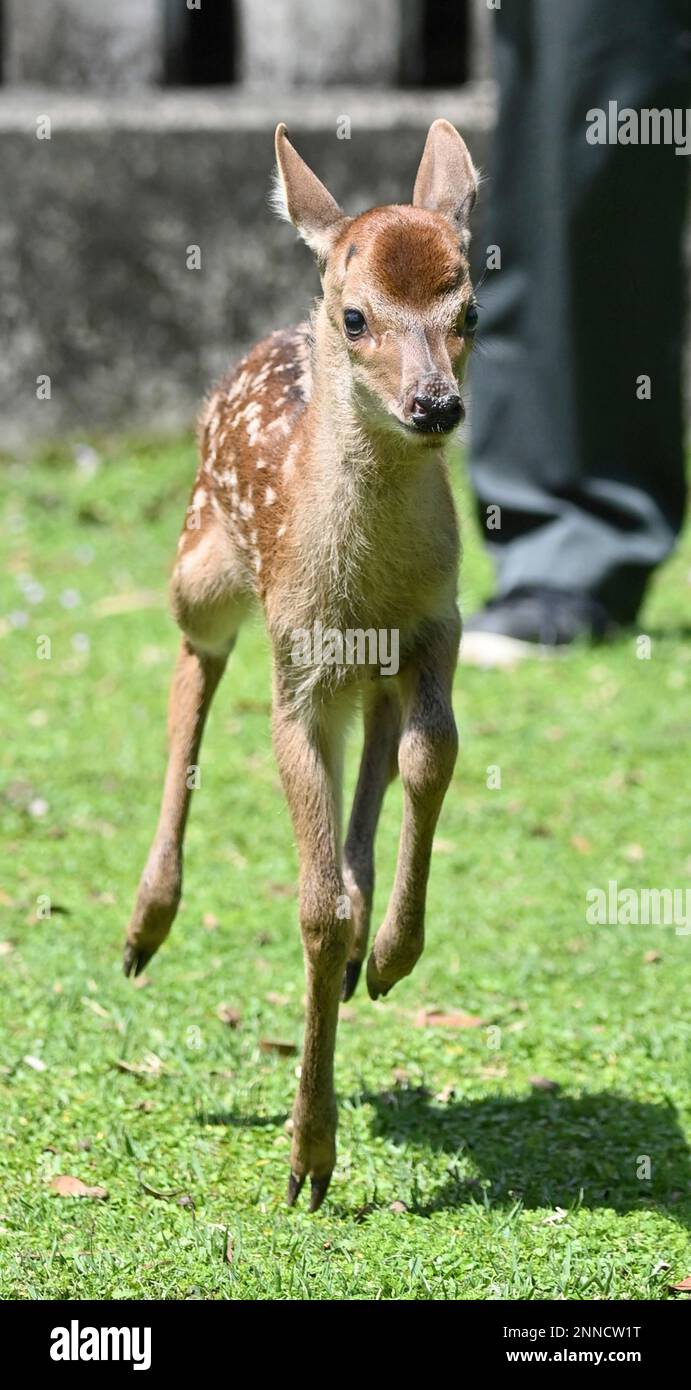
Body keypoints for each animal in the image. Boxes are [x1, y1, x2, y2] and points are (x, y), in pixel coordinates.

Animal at [123, 119, 479, 1211]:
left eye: (470, 310)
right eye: (357, 316)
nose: (434, 405)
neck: (367, 581)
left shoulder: (438, 623)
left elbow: (431, 755)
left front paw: (395, 954)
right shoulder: (298, 666)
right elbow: (314, 909)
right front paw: (308, 1160)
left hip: (362, 661)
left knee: (377, 736)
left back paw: (368, 929)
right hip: (204, 559)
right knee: (192, 669)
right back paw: (145, 923)